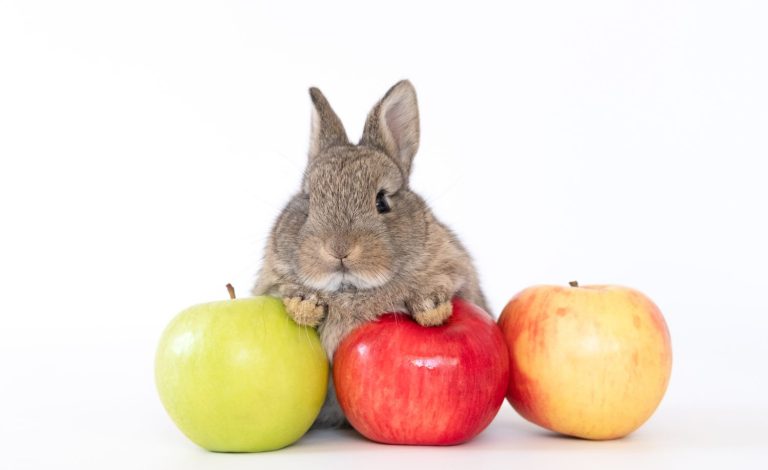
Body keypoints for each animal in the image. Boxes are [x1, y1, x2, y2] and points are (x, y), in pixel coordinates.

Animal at [252, 80, 488, 428]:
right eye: (308, 200)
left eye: (382, 201)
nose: (339, 249)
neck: (350, 290)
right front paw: (305, 305)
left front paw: (430, 308)